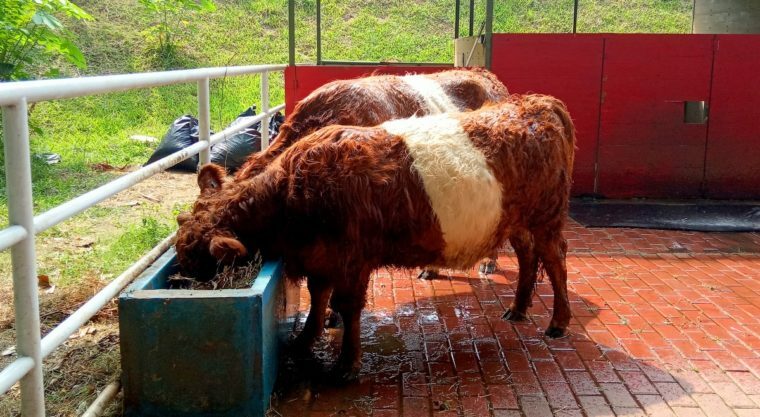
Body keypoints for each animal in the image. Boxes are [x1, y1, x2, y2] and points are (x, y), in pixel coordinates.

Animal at [175, 94, 576, 380]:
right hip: (516, 221)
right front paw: (305, 339)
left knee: (555, 262)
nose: (179, 282)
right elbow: (319, 298)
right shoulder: (321, 259)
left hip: (547, 217)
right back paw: (518, 308)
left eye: (197, 256)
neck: (291, 192)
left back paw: (558, 322)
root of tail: (538, 103)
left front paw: (346, 364)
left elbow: (346, 307)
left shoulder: (351, 260)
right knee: (528, 256)